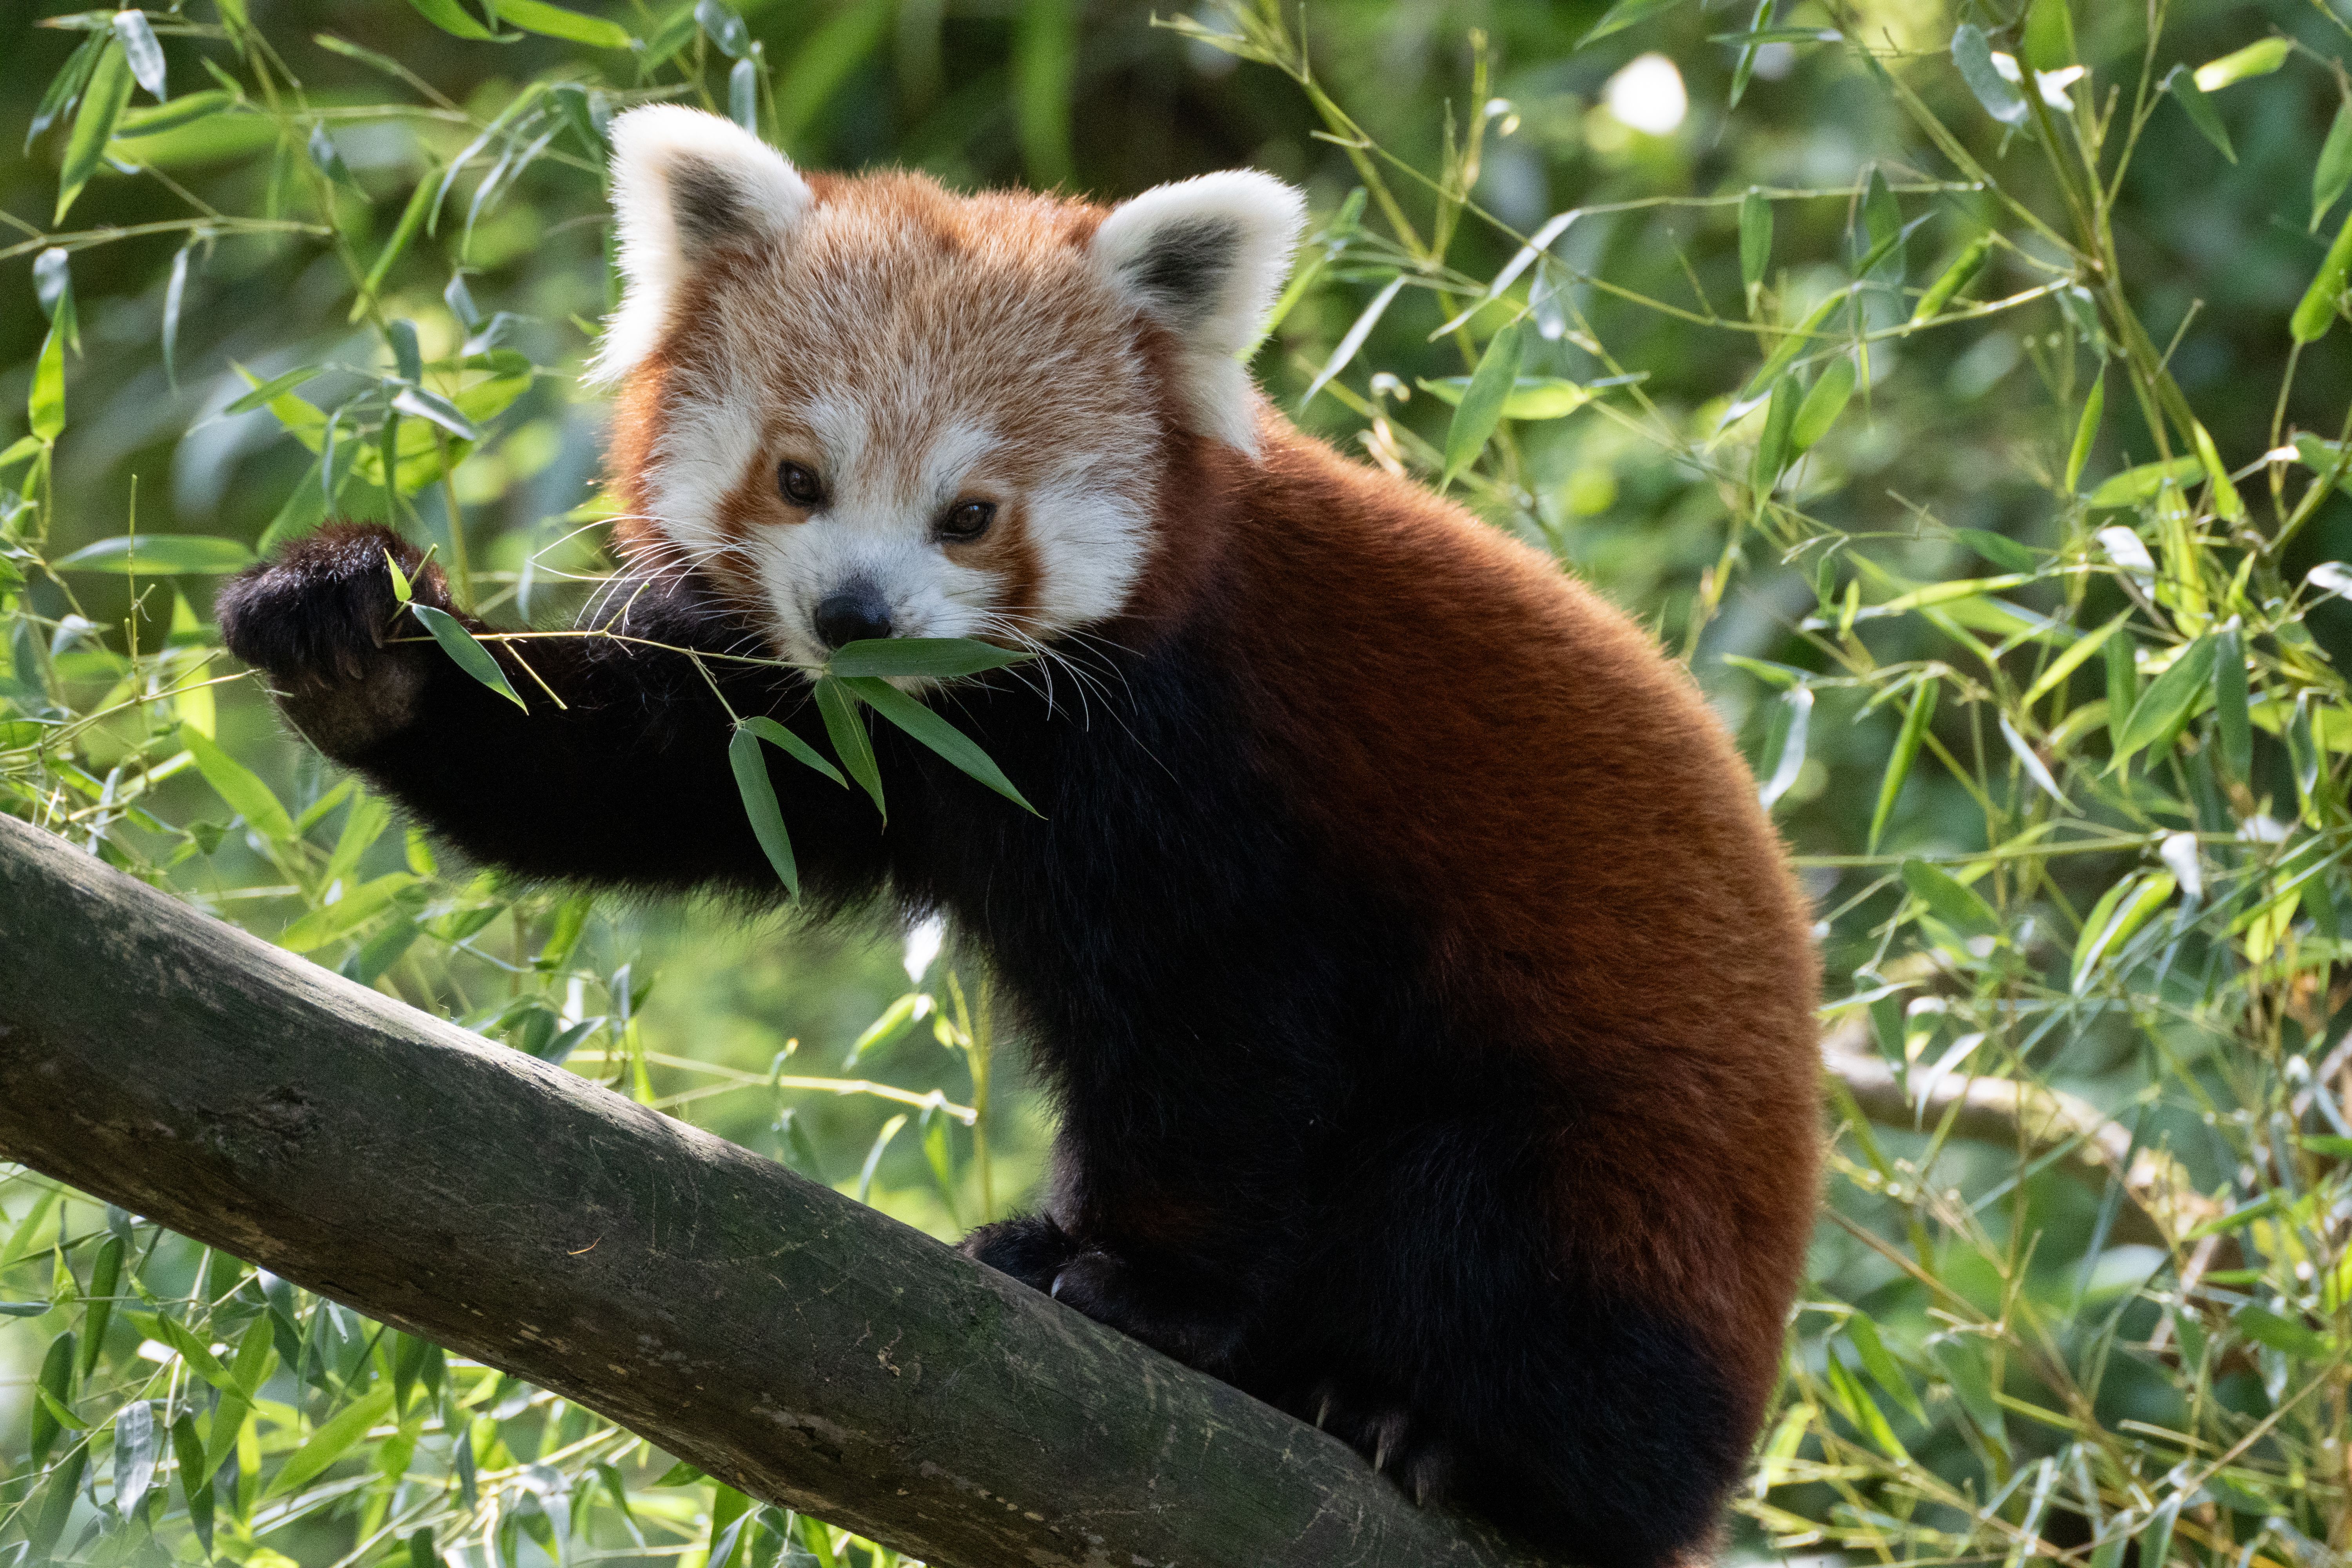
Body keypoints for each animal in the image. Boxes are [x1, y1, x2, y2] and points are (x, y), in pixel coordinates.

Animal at [218, 106, 1821, 1568]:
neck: (981, 713)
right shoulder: (849, 736)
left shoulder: (1201, 771)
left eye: (972, 514)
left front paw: (1148, 1285)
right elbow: (654, 773)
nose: (855, 616)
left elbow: (1221, 1043)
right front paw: (363, 639)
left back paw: (1435, 1431)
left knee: (1478, 1231)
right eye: (797, 479)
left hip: (1618, 1197)